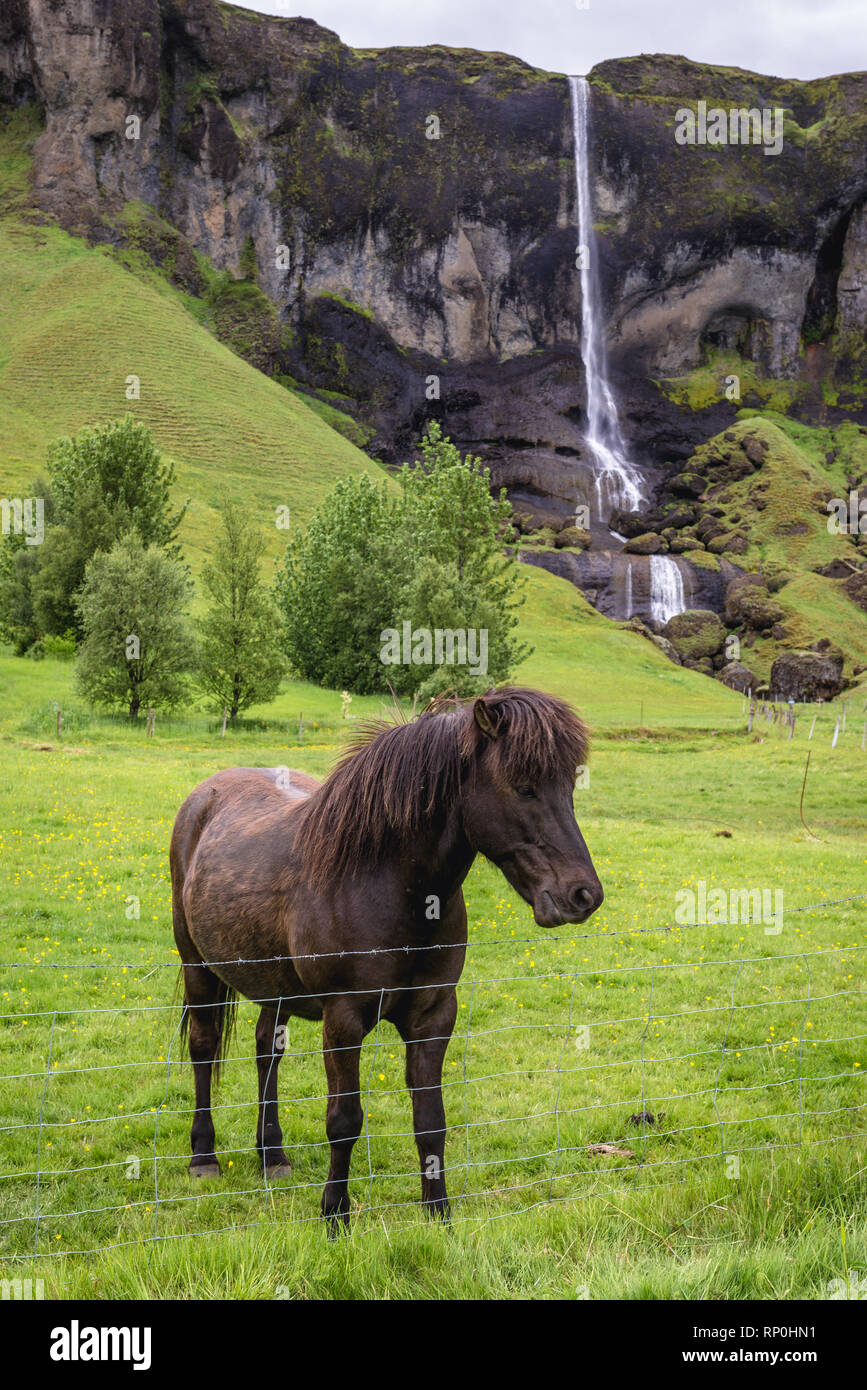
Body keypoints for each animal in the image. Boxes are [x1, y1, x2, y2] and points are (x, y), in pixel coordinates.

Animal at [170, 686, 604, 1227]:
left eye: (568, 789)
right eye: (523, 788)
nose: (583, 895)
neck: (386, 883)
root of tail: (206, 795)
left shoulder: (434, 1015)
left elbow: (431, 1119)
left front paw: (438, 1212)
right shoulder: (344, 1019)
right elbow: (344, 1121)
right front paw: (335, 1216)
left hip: (273, 986)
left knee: (266, 1051)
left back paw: (273, 1155)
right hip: (197, 967)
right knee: (204, 1047)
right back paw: (202, 1157)